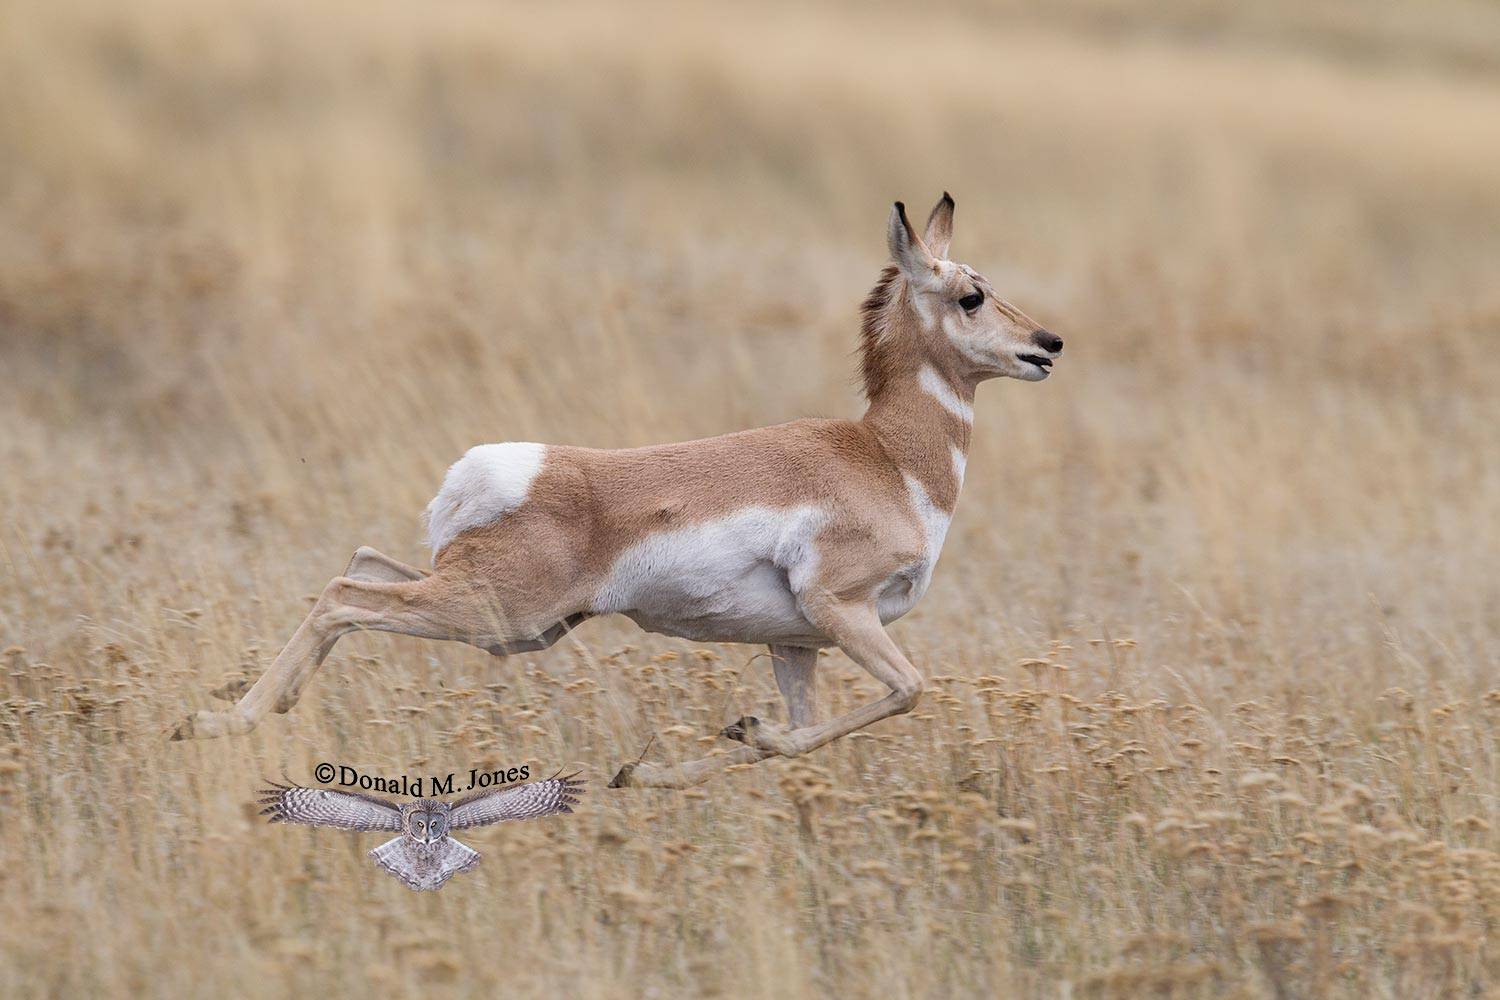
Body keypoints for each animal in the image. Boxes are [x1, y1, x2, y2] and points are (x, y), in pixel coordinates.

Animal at [171, 194, 1064, 789]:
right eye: (970, 294)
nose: (1049, 343)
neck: (885, 458)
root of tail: (501, 470)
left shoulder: (797, 643)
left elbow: (796, 733)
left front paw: (683, 758)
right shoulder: (840, 610)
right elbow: (909, 691)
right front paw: (741, 739)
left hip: (515, 624)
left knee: (360, 566)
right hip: (493, 613)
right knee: (341, 594)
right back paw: (217, 719)